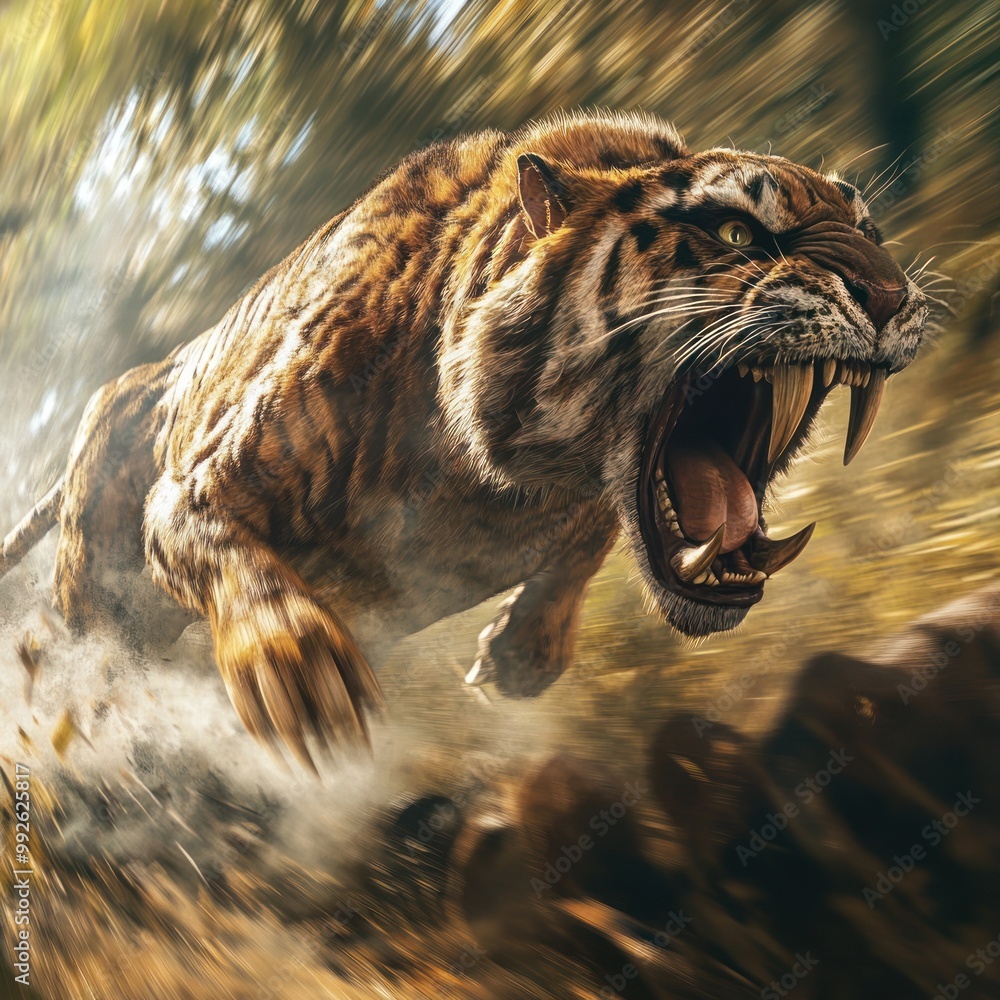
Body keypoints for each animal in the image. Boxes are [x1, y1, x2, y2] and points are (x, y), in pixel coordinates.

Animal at [0, 110, 927, 769]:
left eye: (871, 232)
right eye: (737, 232)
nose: (891, 293)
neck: (485, 475)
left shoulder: (586, 503)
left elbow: (591, 537)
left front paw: (522, 654)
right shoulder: (192, 491)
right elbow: (236, 561)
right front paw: (299, 674)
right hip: (101, 599)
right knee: (63, 651)